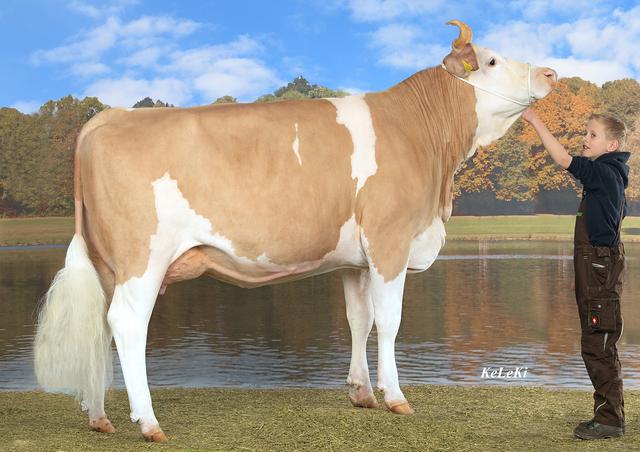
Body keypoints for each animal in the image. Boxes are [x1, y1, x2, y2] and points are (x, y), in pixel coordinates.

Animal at [34, 20, 557, 442]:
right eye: (492, 60)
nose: (551, 74)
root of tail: (111, 115)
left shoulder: (355, 260)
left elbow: (358, 320)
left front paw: (361, 393)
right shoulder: (390, 241)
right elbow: (389, 322)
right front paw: (395, 397)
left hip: (109, 265)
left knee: (101, 327)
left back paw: (100, 417)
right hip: (144, 259)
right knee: (126, 324)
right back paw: (148, 422)